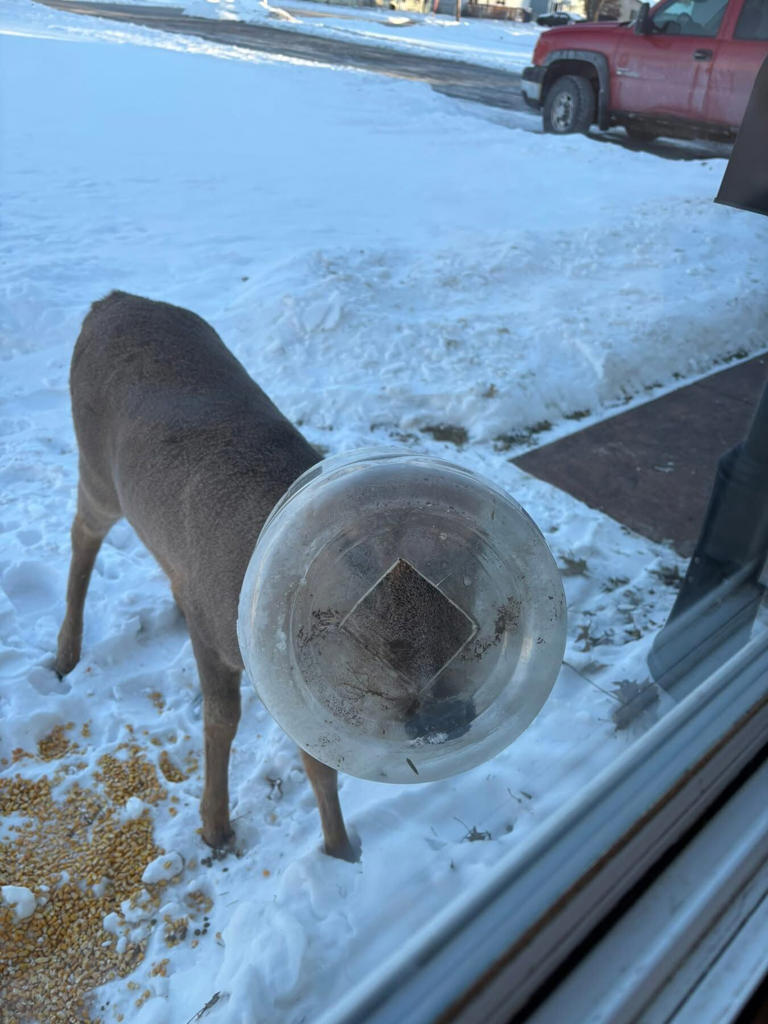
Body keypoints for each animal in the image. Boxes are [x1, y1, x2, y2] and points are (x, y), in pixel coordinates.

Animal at [55, 290, 356, 862]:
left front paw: (341, 848)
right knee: (82, 534)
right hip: (97, 470)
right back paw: (65, 653)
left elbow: (318, 762)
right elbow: (221, 719)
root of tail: (109, 300)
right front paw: (215, 825)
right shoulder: (215, 635)